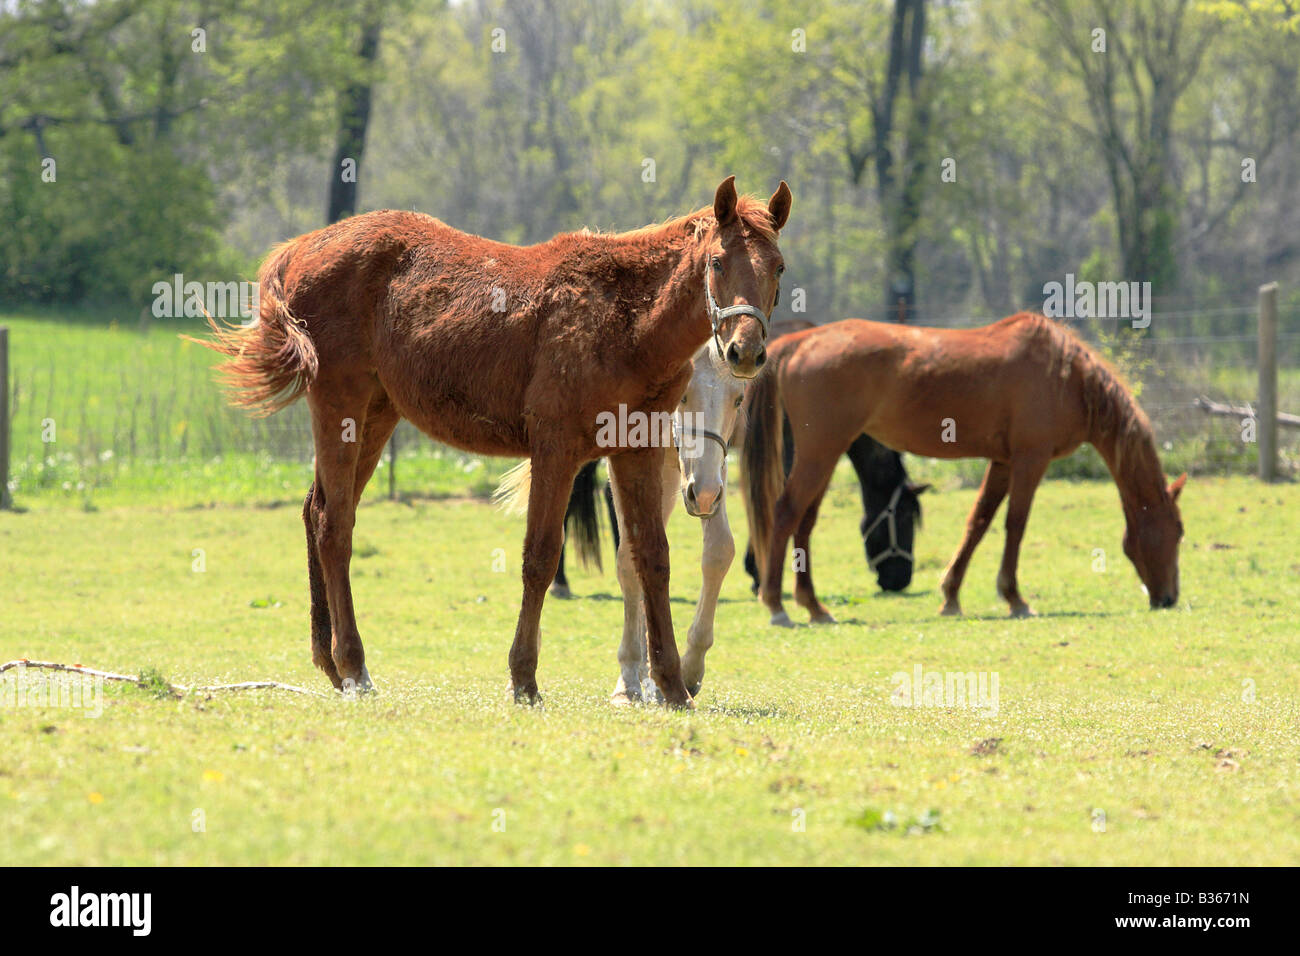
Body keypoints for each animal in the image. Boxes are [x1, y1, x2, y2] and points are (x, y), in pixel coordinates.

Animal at [499, 337, 746, 702]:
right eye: (684, 395)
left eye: (738, 399)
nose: (702, 495)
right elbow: (630, 558)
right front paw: (629, 677)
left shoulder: (709, 468)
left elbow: (718, 551)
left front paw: (688, 668)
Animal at [741, 313, 1186, 625]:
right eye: (1178, 532)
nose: (1168, 599)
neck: (1066, 375)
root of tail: (800, 341)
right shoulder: (1031, 459)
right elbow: (1015, 525)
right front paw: (1015, 598)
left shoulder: (1003, 462)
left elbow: (979, 522)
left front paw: (951, 595)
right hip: (821, 452)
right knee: (785, 514)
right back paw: (777, 605)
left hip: (825, 455)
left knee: (805, 523)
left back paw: (814, 607)